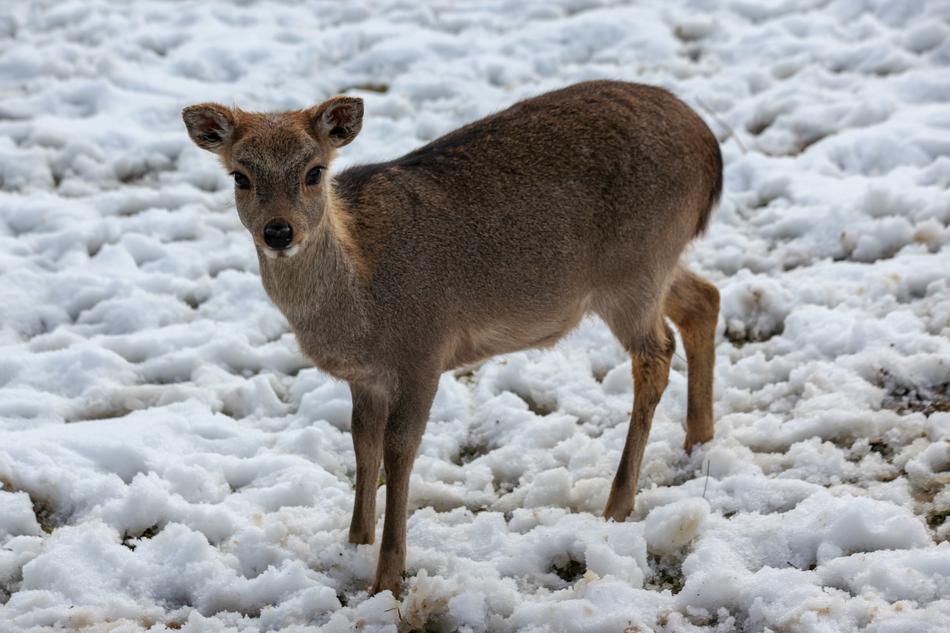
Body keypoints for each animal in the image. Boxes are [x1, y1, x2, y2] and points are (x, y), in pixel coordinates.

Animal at [182, 80, 722, 596]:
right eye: (240, 175)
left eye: (314, 171)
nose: (279, 231)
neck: (359, 307)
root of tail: (711, 152)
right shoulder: (367, 376)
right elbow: (361, 442)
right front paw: (354, 543)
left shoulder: (424, 348)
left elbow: (400, 449)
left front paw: (387, 579)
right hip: (652, 268)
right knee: (705, 298)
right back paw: (699, 438)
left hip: (635, 266)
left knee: (657, 353)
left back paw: (618, 501)